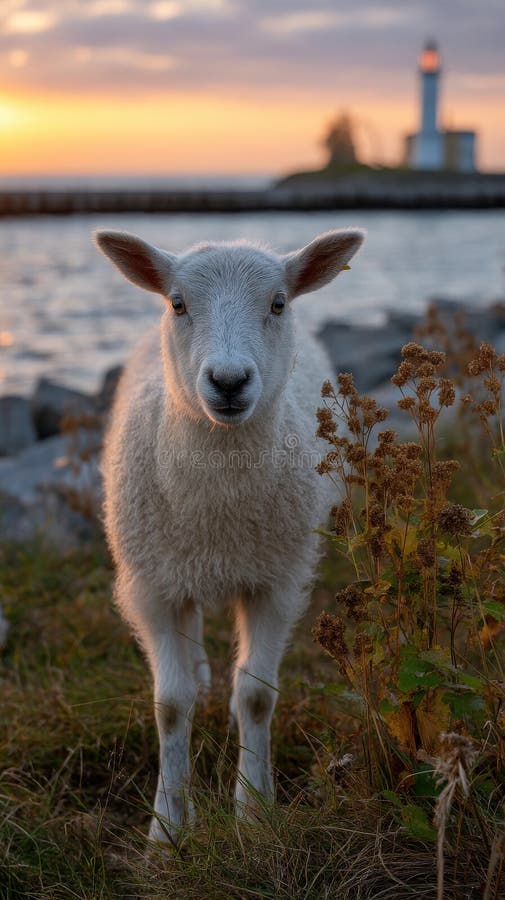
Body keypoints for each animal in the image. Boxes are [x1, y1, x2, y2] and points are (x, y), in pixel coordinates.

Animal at [95, 227, 365, 844]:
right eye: (177, 304)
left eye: (278, 304)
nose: (228, 381)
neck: (218, 514)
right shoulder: (152, 587)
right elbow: (170, 705)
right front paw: (168, 830)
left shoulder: (275, 581)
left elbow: (256, 696)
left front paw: (255, 809)